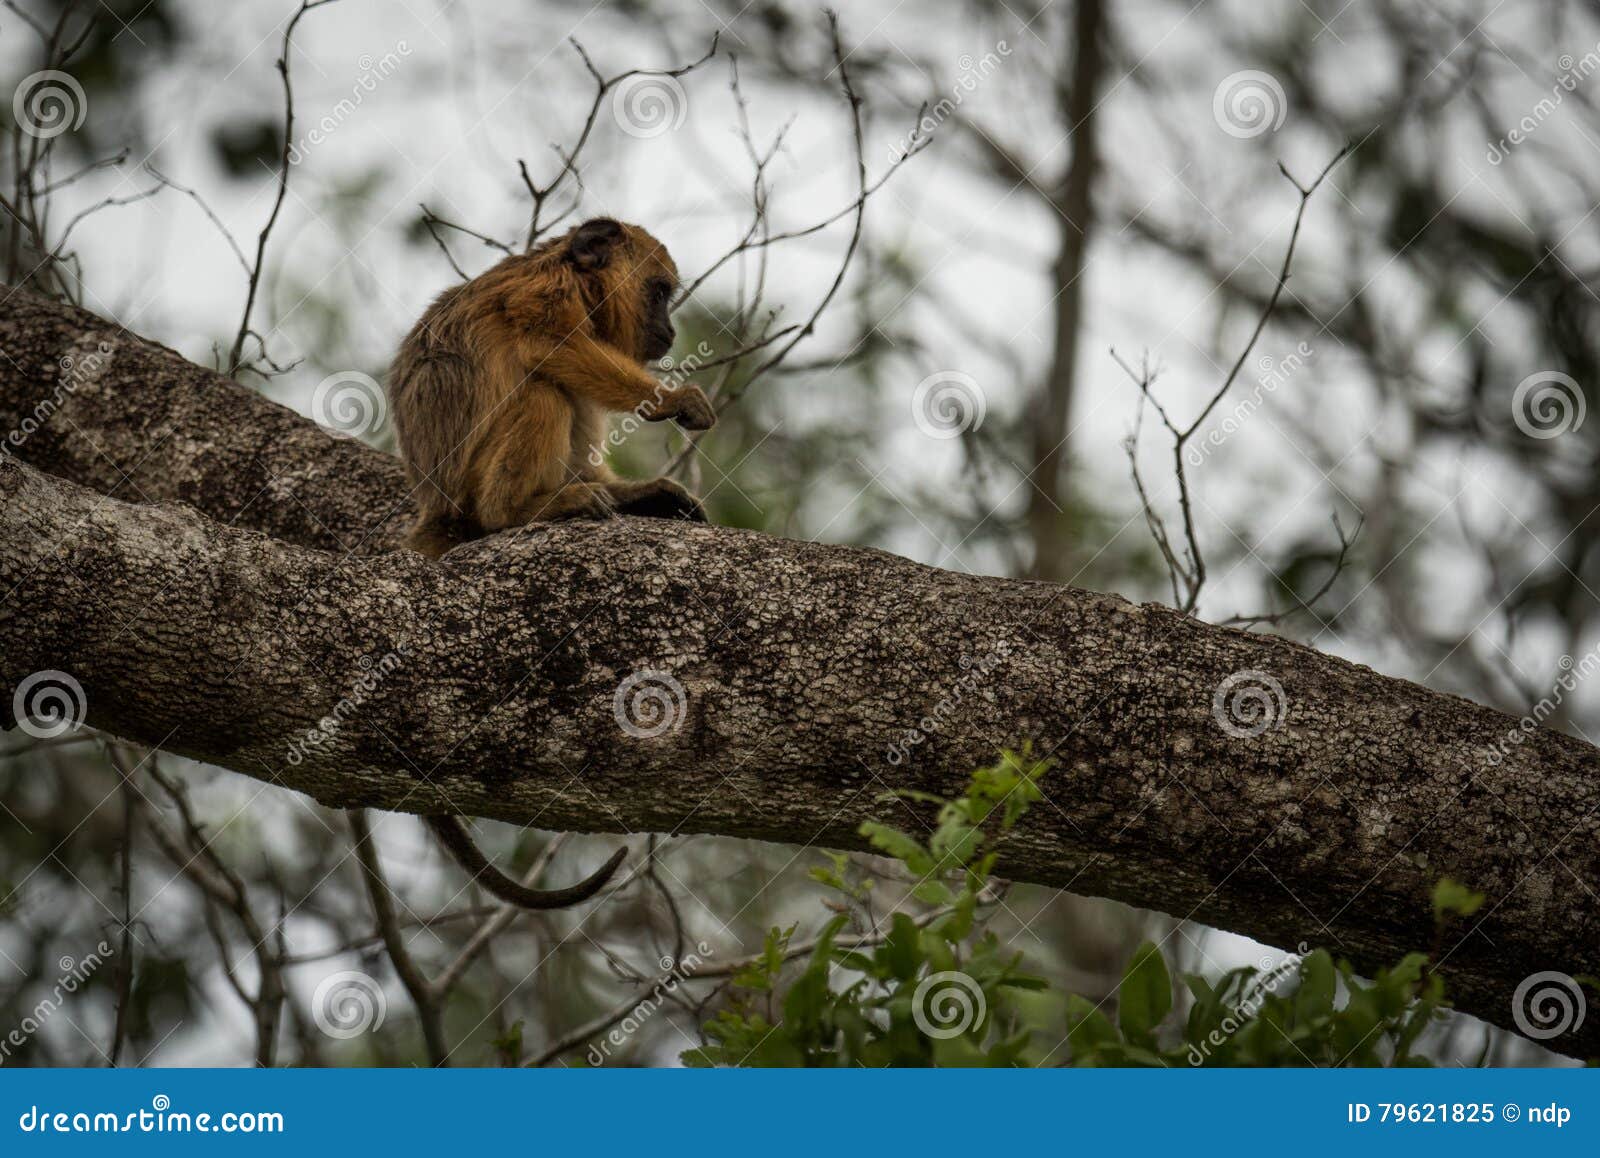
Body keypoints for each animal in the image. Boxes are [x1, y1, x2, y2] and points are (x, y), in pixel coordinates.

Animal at [389, 216, 716, 560]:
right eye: (659, 293)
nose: (671, 329)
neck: (584, 285)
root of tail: (437, 511)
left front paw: (643, 493)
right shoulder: (546, 287)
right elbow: (547, 343)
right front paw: (669, 400)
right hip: (465, 488)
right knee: (543, 397)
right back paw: (511, 511)